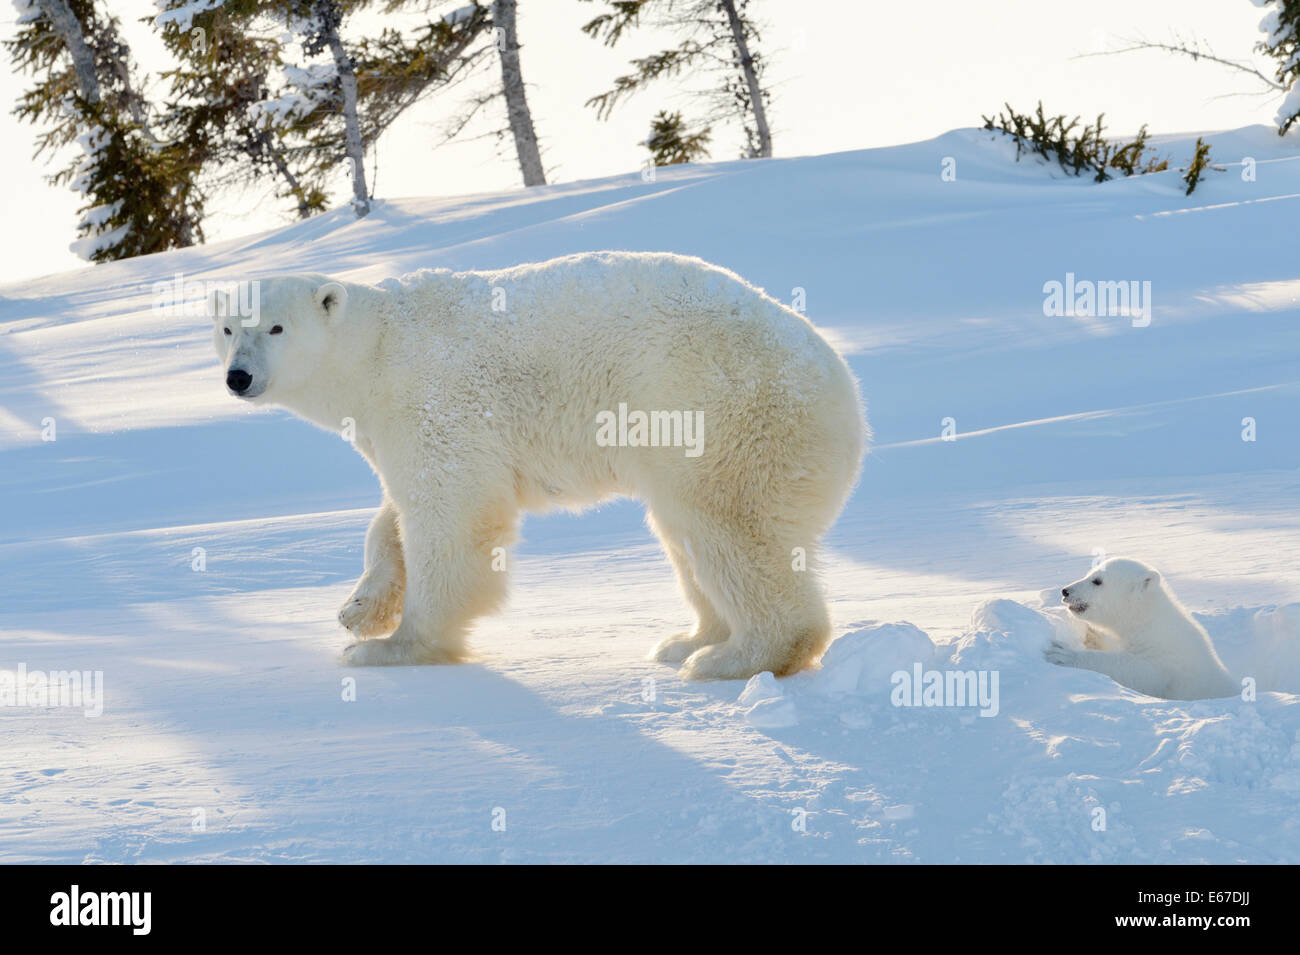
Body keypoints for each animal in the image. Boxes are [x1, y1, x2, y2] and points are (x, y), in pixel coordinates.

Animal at [211, 251, 866, 680]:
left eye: (276, 326)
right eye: (227, 328)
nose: (238, 377)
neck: (377, 350)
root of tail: (841, 385)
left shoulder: (433, 401)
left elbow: (452, 516)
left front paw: (393, 648)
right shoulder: (389, 426)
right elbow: (393, 514)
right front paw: (359, 609)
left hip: (719, 417)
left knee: (727, 528)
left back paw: (731, 657)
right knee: (685, 535)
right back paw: (688, 639)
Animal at [1043, 557, 1238, 700]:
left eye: (1097, 581)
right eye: (1089, 573)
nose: (1065, 591)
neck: (1145, 620)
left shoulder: (1167, 660)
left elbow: (1139, 671)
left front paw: (1064, 654)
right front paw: (1092, 635)